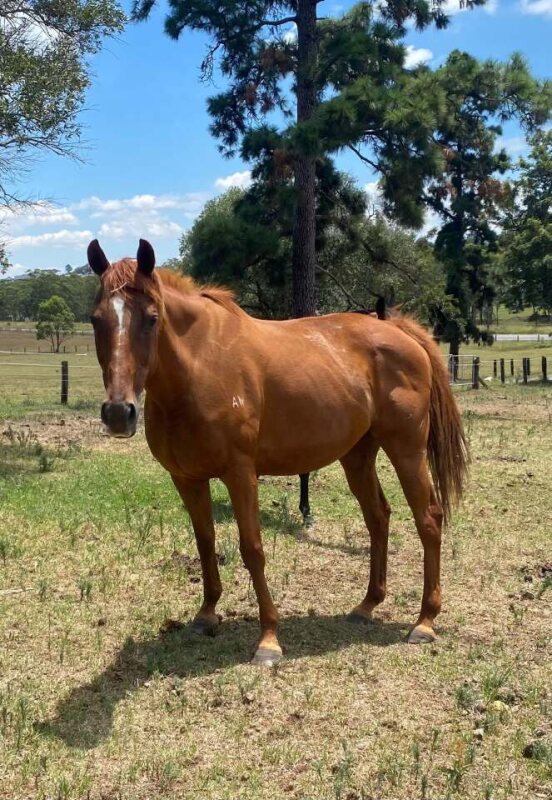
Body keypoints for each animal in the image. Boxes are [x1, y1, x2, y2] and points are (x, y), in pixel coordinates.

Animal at [87, 238, 468, 667]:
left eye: (152, 318)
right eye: (96, 320)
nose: (118, 413)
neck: (199, 367)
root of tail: (396, 330)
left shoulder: (240, 474)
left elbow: (252, 548)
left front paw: (268, 639)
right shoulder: (186, 478)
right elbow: (205, 542)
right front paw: (206, 614)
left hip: (406, 449)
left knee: (428, 519)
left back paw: (425, 621)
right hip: (357, 455)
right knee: (378, 517)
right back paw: (367, 605)